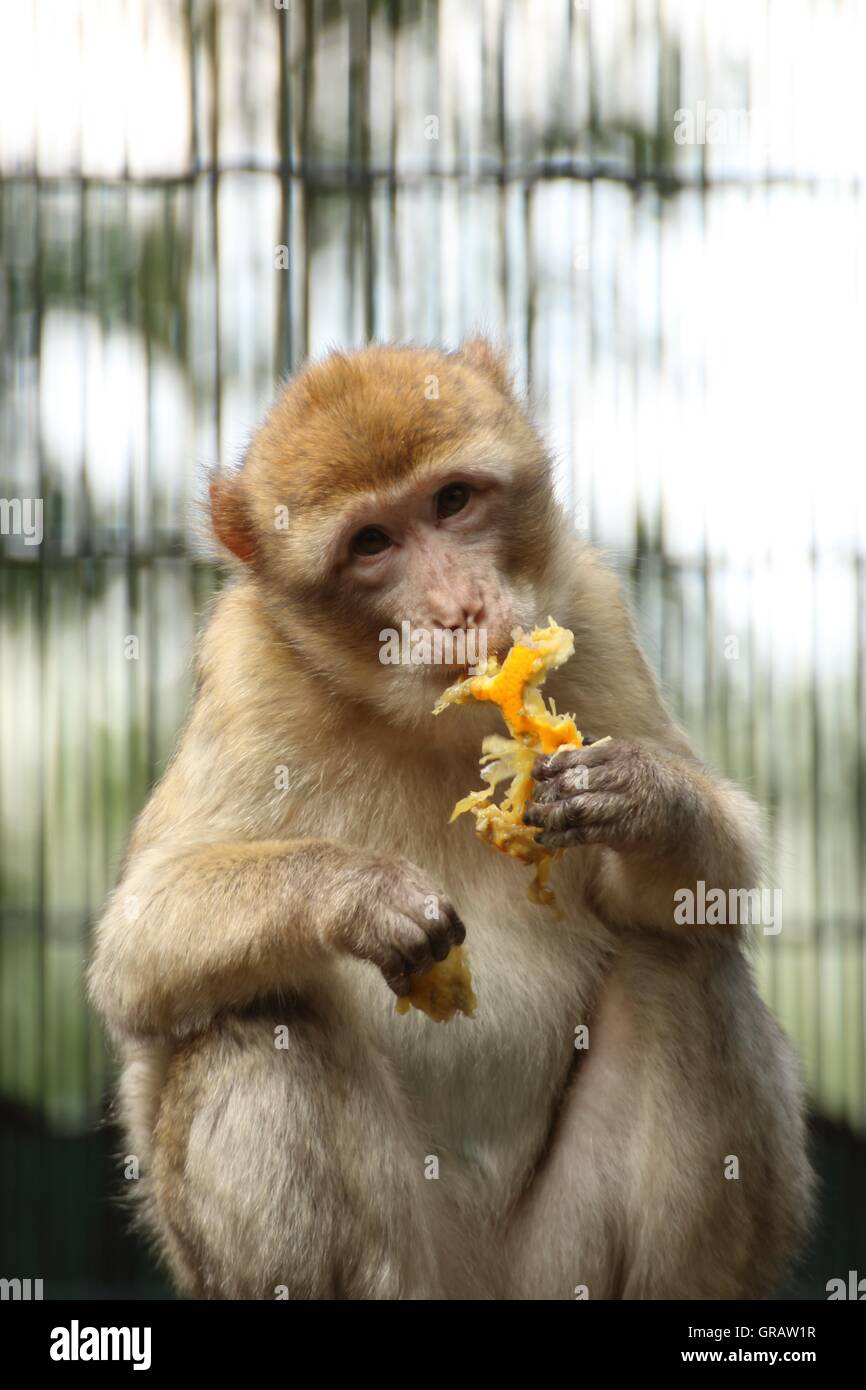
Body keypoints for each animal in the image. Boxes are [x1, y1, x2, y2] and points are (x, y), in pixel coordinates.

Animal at [88, 337, 813, 1300]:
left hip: (556, 1265)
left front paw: (642, 796)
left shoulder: (591, 605)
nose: (460, 610)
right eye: (371, 542)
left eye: (453, 501)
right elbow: (136, 947)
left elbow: (714, 889)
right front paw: (358, 895)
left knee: (686, 958)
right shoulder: (249, 669)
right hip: (408, 1267)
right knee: (252, 1019)